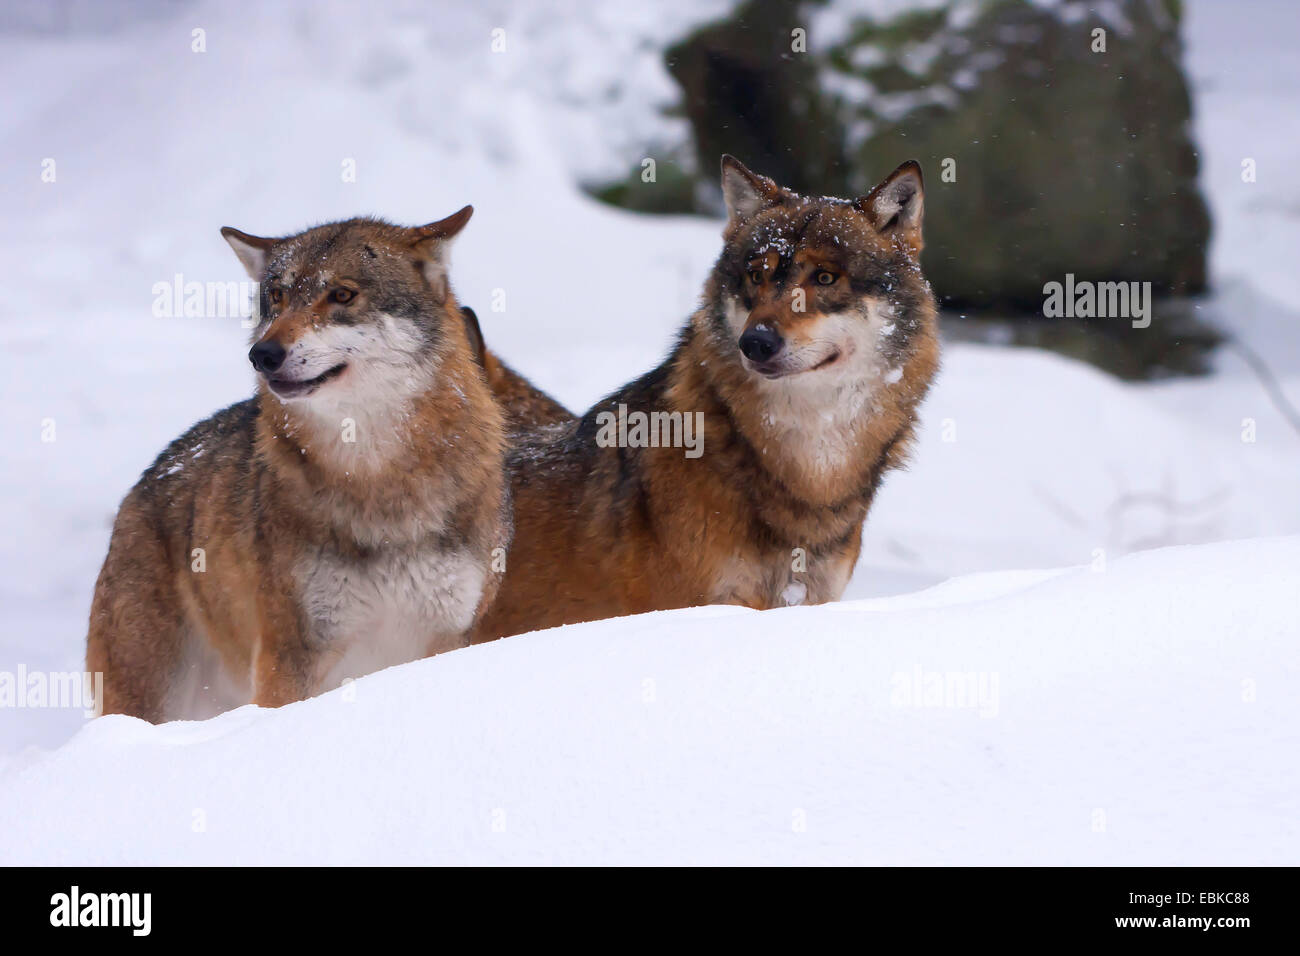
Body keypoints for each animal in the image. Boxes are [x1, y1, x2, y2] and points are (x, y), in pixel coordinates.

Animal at [87, 208, 509, 721]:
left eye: (342, 294)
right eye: (277, 296)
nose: (262, 354)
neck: (376, 478)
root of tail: (143, 483)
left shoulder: (448, 638)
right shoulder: (289, 655)